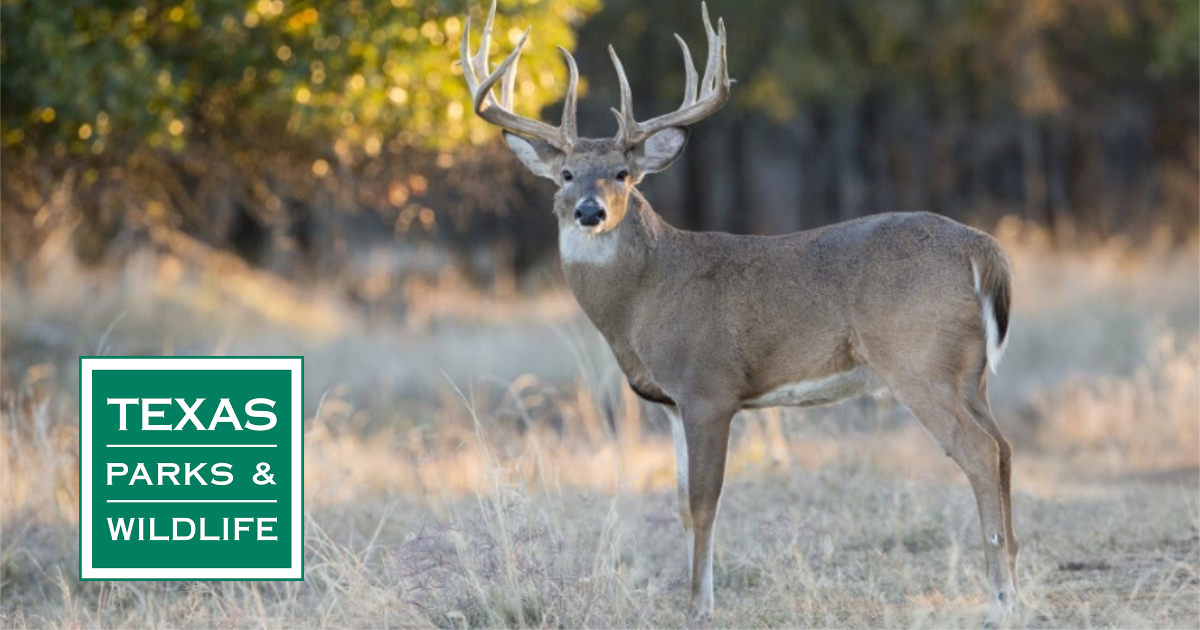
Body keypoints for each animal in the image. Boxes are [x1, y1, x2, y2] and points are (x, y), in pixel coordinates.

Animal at [459, 2, 1019, 625]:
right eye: (565, 175)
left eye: (622, 174)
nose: (588, 211)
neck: (644, 300)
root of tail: (982, 249)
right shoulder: (672, 404)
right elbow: (682, 504)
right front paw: (691, 600)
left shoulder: (709, 388)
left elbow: (706, 503)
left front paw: (699, 608)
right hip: (969, 373)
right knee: (1004, 448)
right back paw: (1015, 584)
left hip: (918, 361)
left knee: (979, 451)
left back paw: (999, 602)